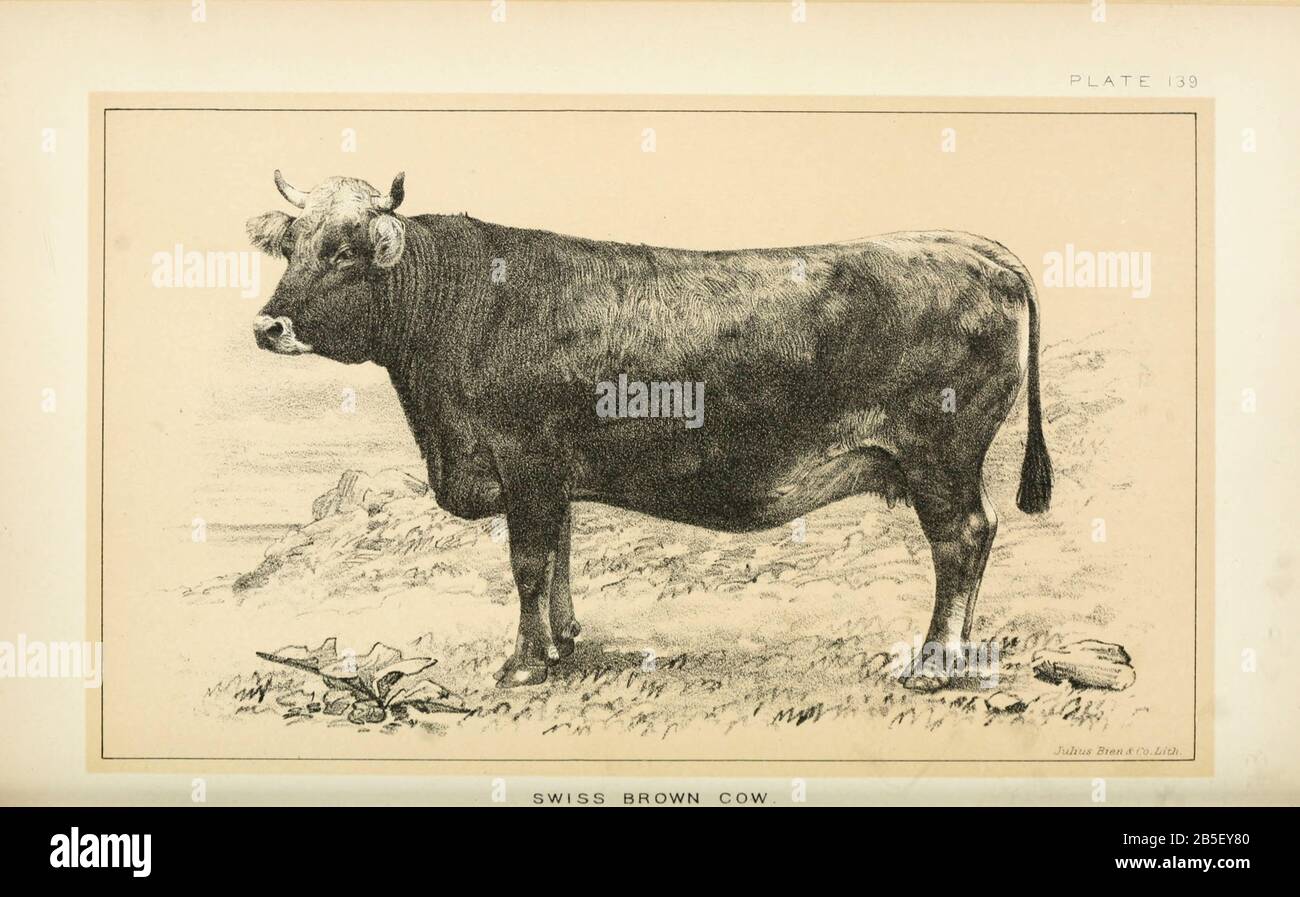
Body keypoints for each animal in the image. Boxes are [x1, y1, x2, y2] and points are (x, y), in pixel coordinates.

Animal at [248, 171, 1052, 690]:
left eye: (345, 252)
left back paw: (937, 664)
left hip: (940, 458)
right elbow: (561, 552)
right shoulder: (550, 471)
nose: (267, 327)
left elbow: (529, 563)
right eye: (294, 248)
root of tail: (972, 249)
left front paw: (524, 663)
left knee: (963, 541)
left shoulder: (524, 457)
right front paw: (565, 641)